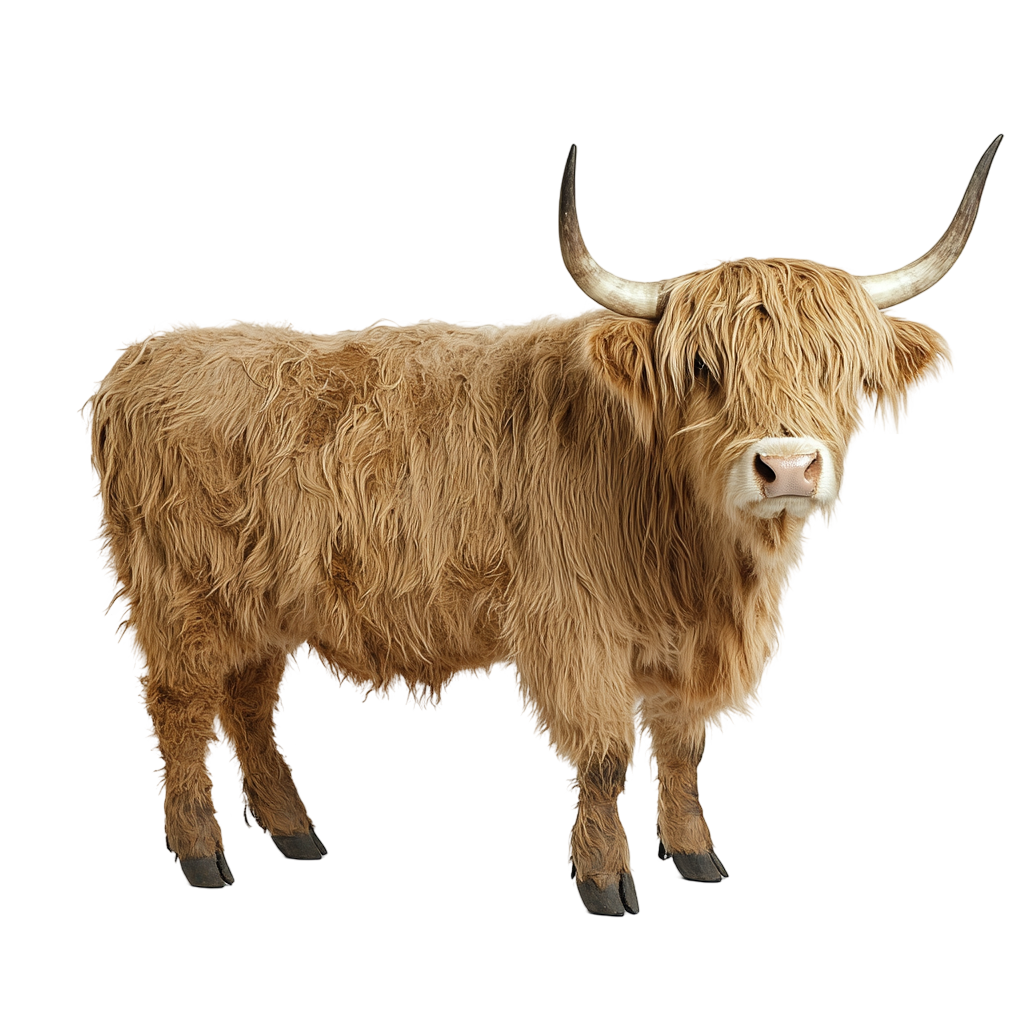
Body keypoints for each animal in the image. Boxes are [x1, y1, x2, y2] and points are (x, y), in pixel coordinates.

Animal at [80, 136, 1000, 915]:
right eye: (704, 367)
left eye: (839, 367)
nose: (789, 466)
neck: (701, 557)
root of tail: (144, 355)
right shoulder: (574, 626)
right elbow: (601, 755)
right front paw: (605, 880)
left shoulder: (689, 648)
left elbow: (682, 746)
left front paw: (696, 855)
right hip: (180, 599)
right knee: (182, 712)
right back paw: (203, 856)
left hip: (262, 606)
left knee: (249, 704)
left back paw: (295, 833)